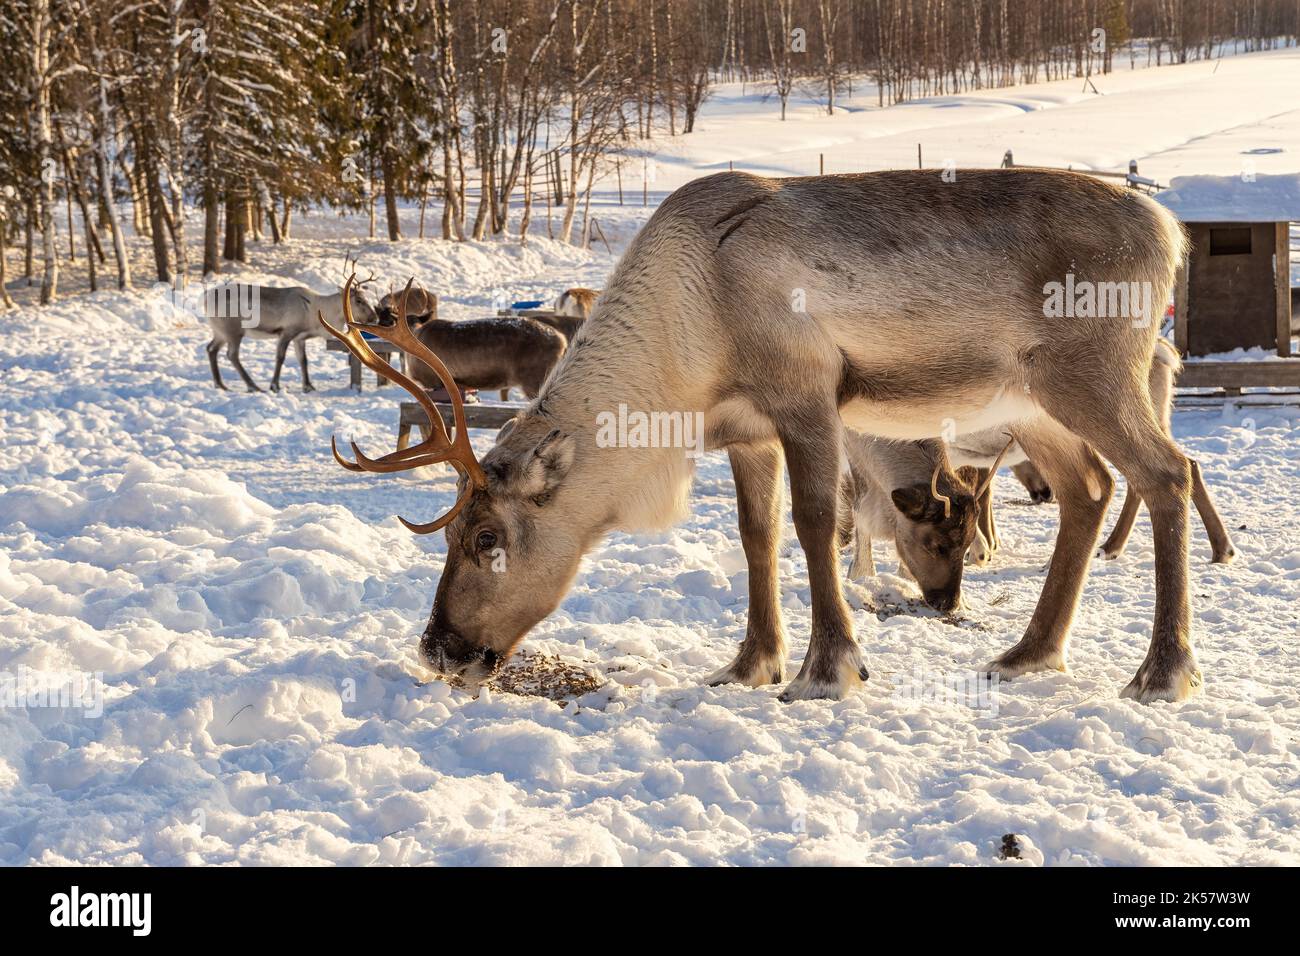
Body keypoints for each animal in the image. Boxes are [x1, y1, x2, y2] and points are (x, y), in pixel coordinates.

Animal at [321, 168, 1202, 705]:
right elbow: (755, 535)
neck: (687, 343)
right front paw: (749, 663)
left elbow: (815, 525)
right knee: (1091, 486)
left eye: (484, 537)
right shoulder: (745, 431)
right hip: (1032, 404)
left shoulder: (807, 397)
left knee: (1168, 473)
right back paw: (1029, 651)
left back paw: (1162, 671)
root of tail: (1172, 231)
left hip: (1091, 373)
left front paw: (827, 668)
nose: (438, 648)